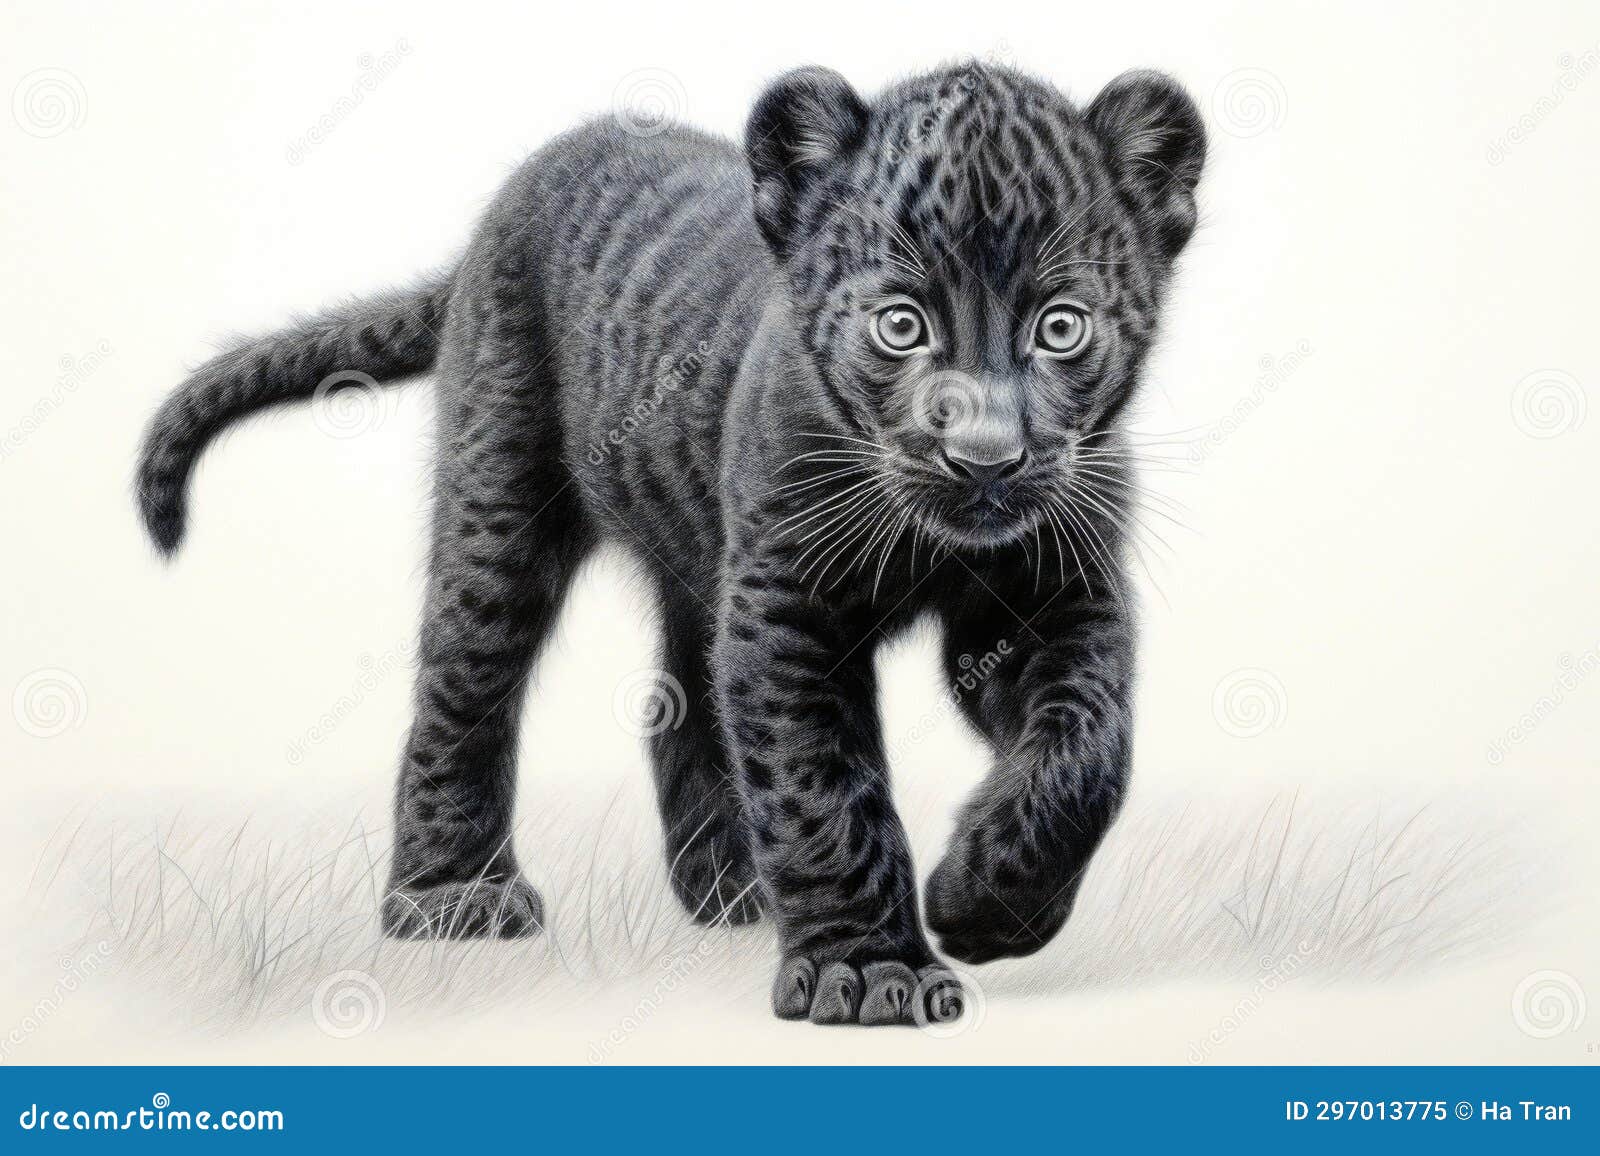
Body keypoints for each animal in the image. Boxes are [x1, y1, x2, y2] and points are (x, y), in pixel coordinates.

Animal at [135, 61, 1206, 1026]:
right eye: (900, 326)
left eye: (1061, 328)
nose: (982, 458)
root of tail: (501, 211)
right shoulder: (787, 610)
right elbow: (823, 787)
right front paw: (869, 973)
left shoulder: (1053, 600)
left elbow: (1087, 748)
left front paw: (990, 902)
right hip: (502, 515)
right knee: (463, 688)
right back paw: (453, 898)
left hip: (701, 561)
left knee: (677, 705)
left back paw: (732, 888)